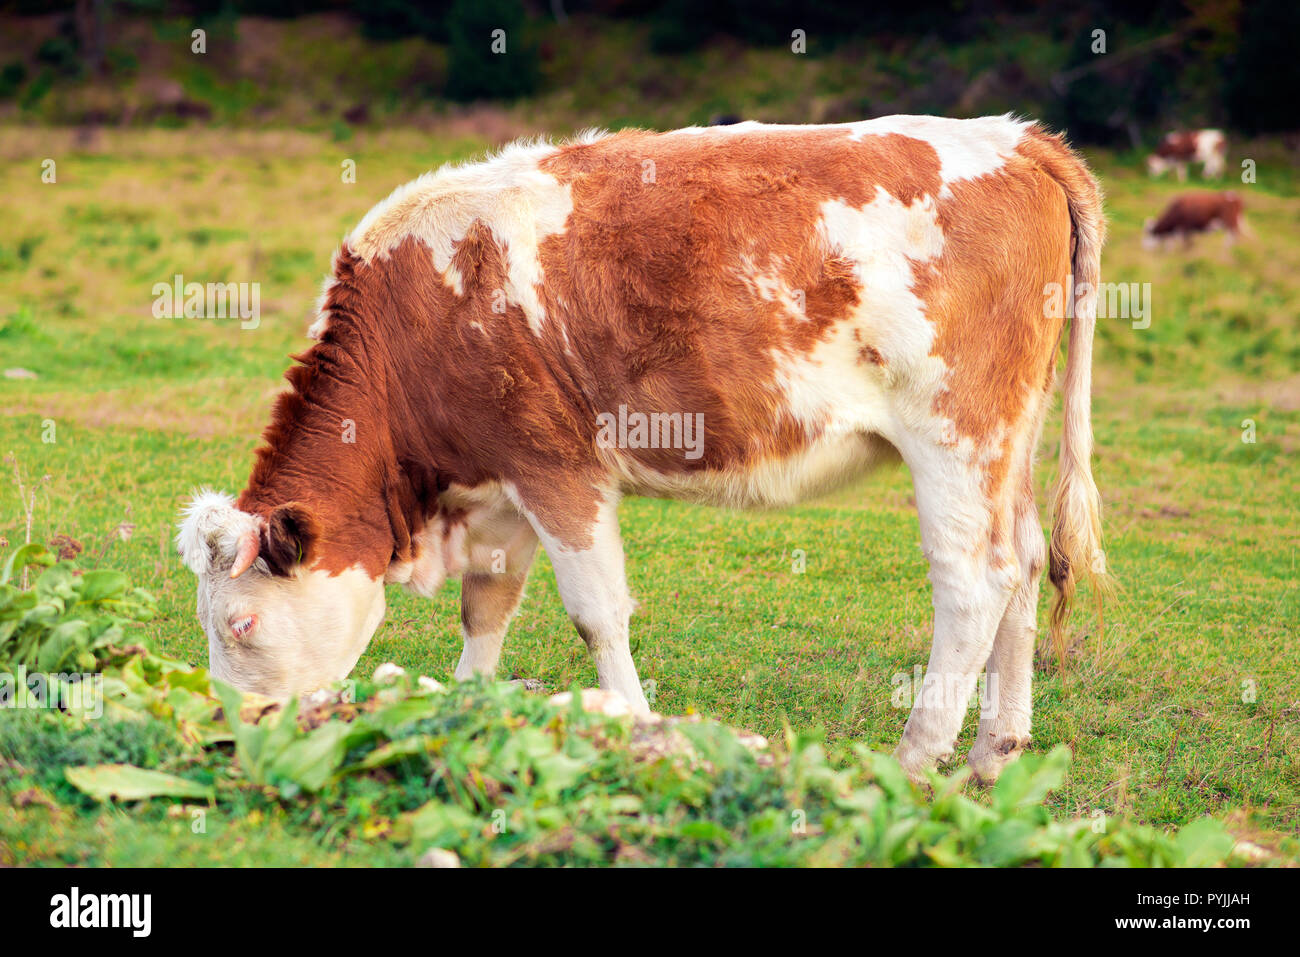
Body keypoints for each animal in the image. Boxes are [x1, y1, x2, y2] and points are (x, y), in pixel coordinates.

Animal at [178, 115, 1108, 783]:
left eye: (241, 622)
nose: (229, 735)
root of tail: (1019, 139)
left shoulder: (556, 464)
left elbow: (596, 612)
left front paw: (634, 724)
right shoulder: (501, 482)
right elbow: (488, 607)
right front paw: (469, 711)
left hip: (954, 432)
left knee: (974, 582)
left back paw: (913, 758)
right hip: (1008, 441)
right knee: (1026, 561)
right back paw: (994, 753)